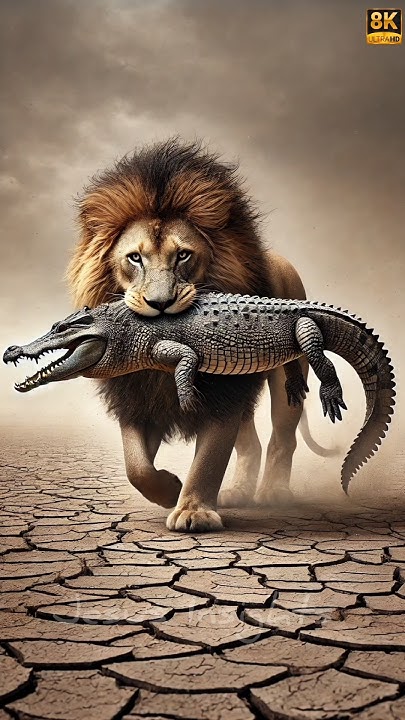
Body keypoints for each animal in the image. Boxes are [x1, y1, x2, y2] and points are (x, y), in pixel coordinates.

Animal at [67, 139, 307, 532]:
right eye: (134, 258)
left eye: (183, 255)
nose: (160, 303)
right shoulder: (136, 395)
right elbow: (136, 465)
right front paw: (169, 489)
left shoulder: (223, 394)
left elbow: (210, 458)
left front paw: (194, 509)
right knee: (251, 445)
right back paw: (238, 491)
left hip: (288, 378)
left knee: (283, 438)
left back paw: (273, 492)